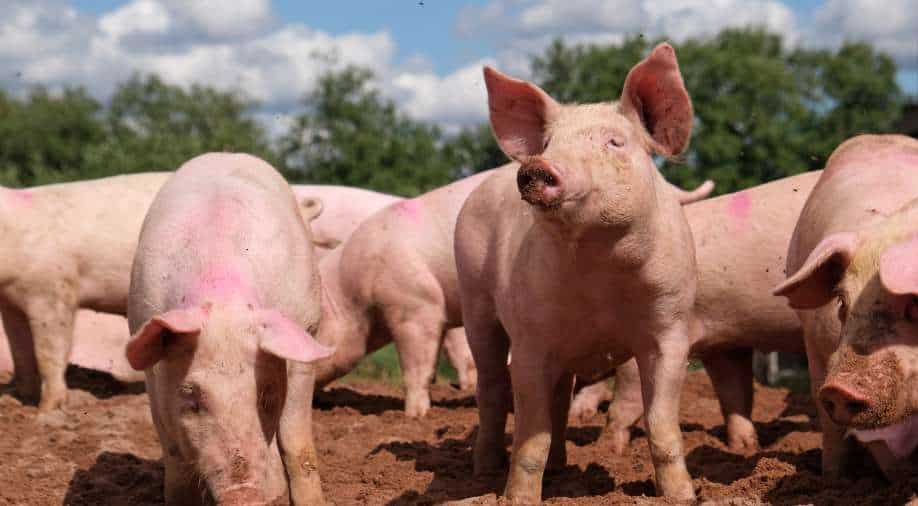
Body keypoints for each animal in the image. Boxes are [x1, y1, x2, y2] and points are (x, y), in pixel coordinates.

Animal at [126, 153, 334, 505]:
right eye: (191, 398)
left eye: (266, 397)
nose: (243, 496)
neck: (223, 293)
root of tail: (226, 153)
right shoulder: (153, 371)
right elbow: (175, 460)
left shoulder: (304, 333)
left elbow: (296, 440)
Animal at [454, 43, 700, 501]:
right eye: (550, 142)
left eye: (615, 141)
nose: (537, 166)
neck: (600, 270)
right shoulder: (530, 339)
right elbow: (530, 435)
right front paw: (518, 500)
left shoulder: (671, 329)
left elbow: (660, 425)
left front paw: (683, 498)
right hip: (475, 301)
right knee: (492, 388)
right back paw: (483, 473)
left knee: (559, 400)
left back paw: (560, 469)